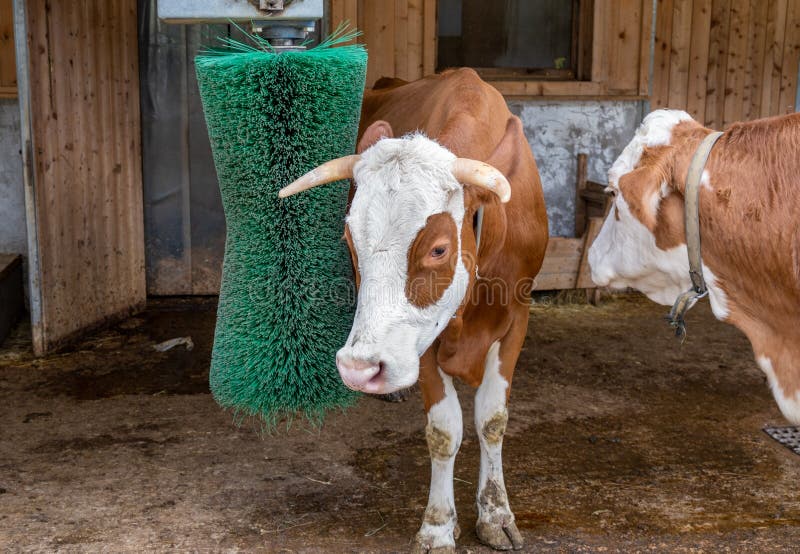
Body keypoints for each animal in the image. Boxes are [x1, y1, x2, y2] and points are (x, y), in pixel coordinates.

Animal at [279, 68, 549, 552]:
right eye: (349, 239)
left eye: (439, 248)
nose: (357, 368)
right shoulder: (419, 341)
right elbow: (444, 430)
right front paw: (438, 525)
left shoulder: (517, 316)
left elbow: (492, 419)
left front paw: (496, 513)